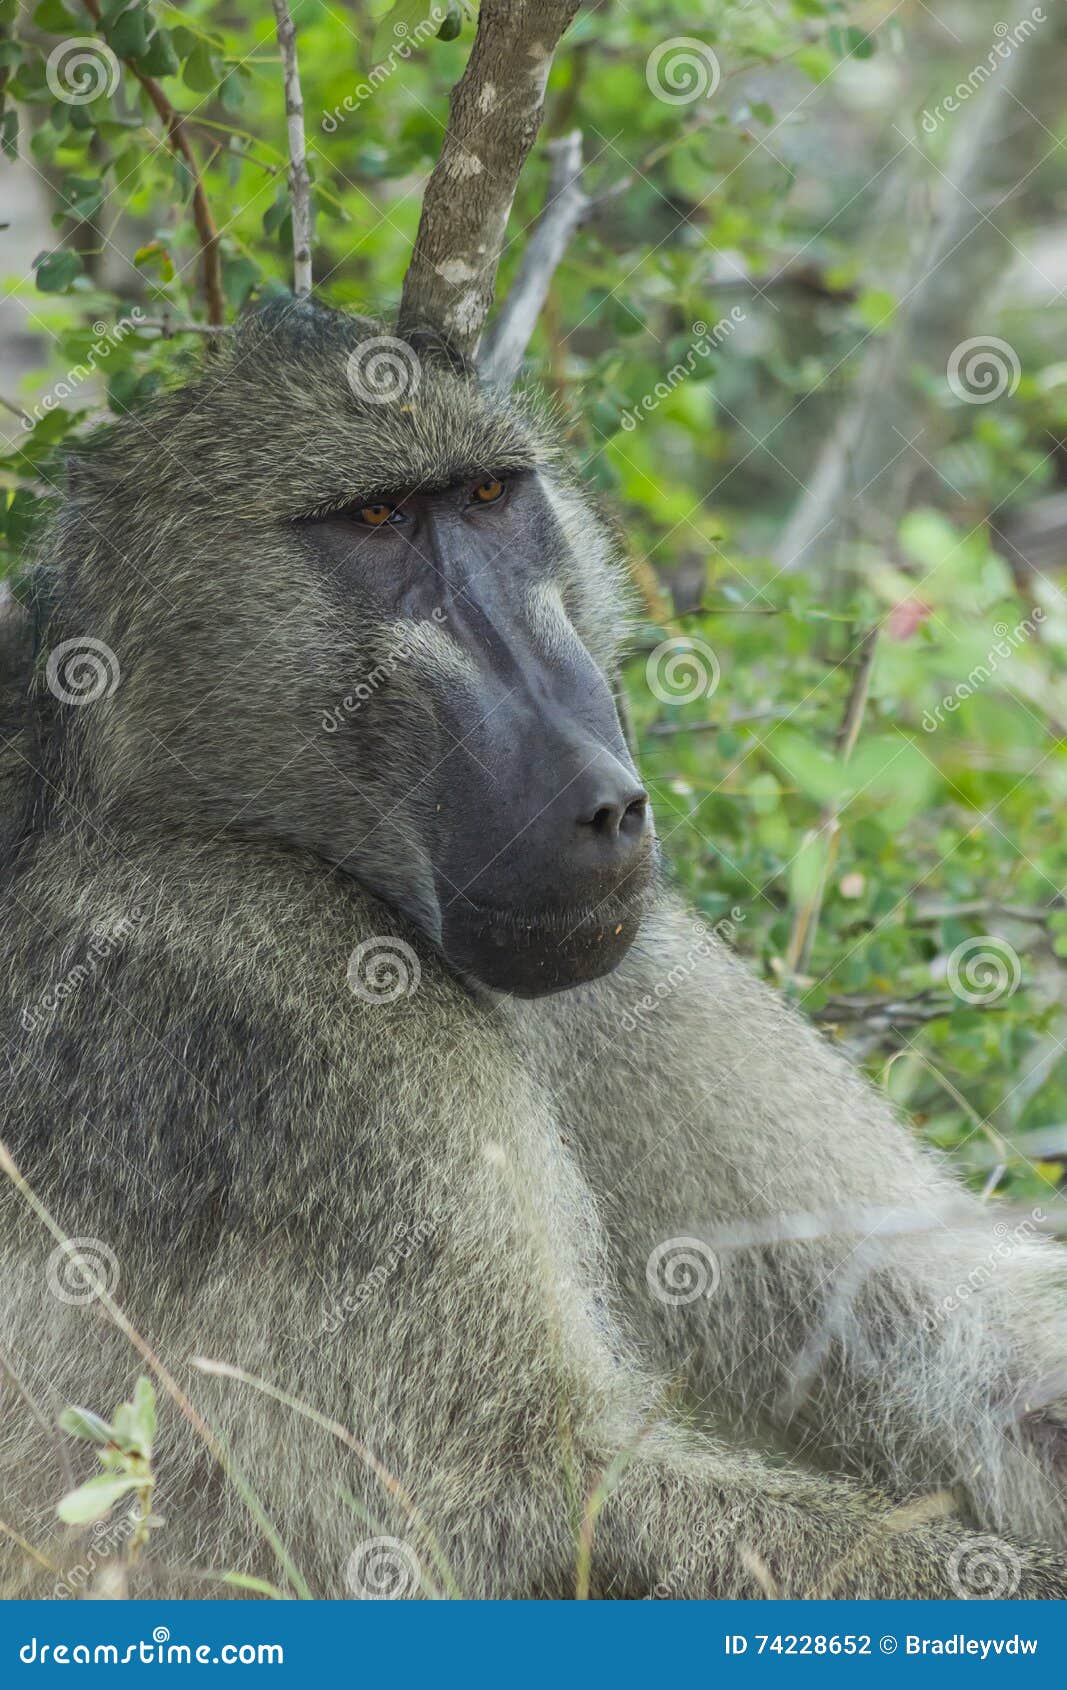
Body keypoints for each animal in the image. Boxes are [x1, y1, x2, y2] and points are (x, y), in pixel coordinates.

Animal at [0, 299, 1066, 1600]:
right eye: (374, 522)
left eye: (490, 498)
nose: (600, 799)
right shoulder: (273, 985)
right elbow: (503, 1503)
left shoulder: (623, 966)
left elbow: (961, 1354)